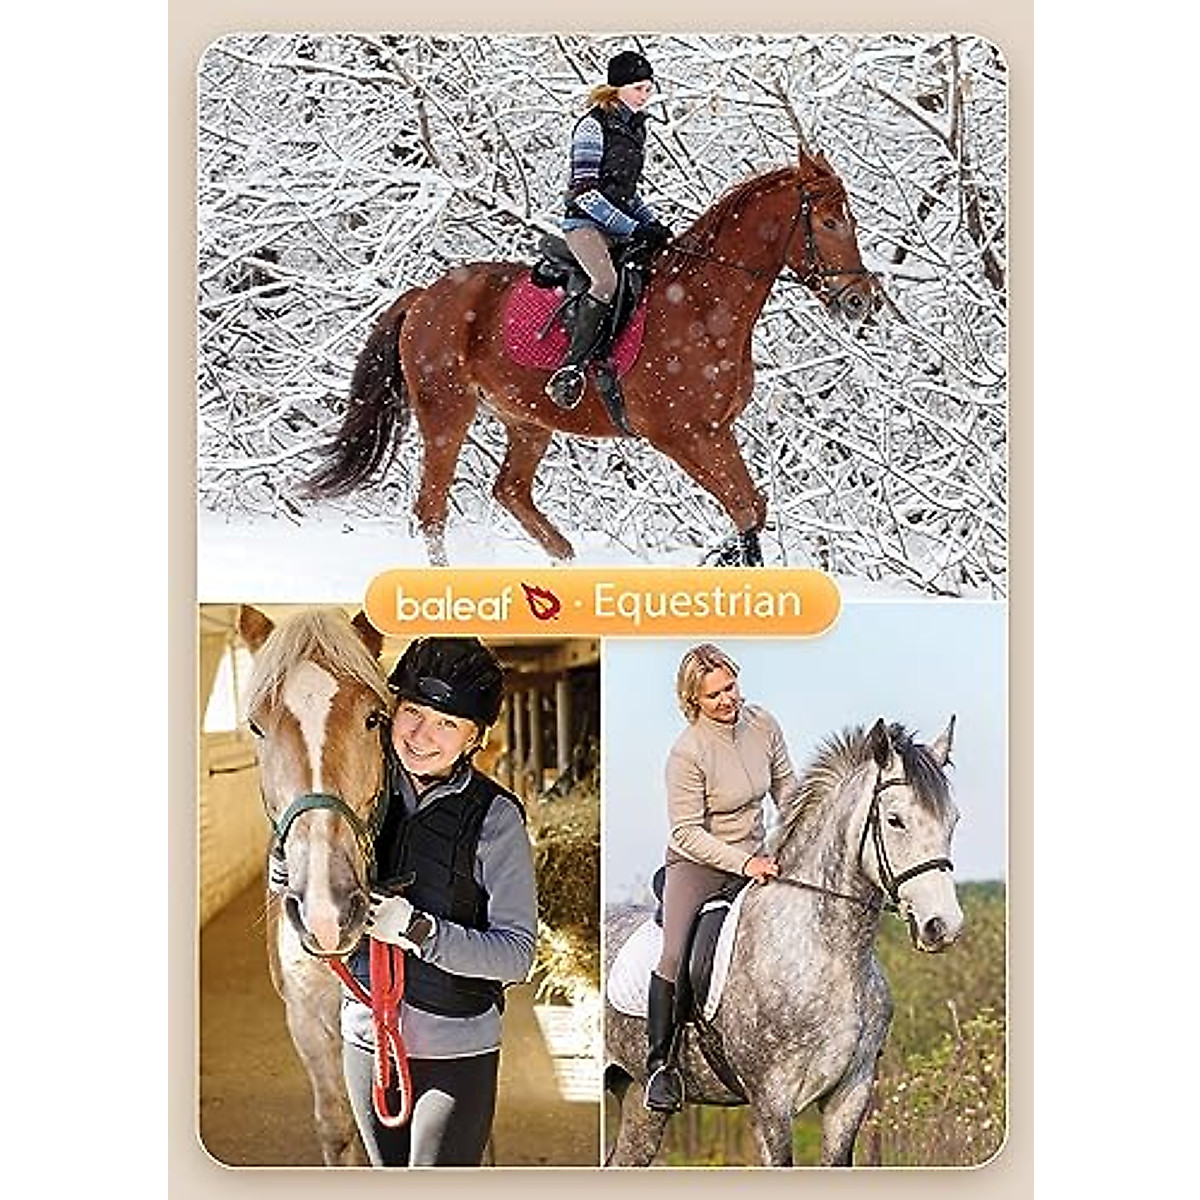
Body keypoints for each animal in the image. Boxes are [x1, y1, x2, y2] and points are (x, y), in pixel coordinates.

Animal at [305, 150, 876, 567]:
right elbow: (744, 506)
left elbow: (751, 507)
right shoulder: (684, 436)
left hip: (527, 421)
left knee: (510, 491)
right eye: (830, 221)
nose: (859, 300)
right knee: (432, 508)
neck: (702, 304)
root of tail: (425, 295)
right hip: (448, 412)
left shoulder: (717, 430)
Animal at [602, 717, 962, 1167]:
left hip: (639, 1104)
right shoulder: (771, 1103)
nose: (943, 926)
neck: (831, 954)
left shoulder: (851, 1095)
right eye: (895, 820)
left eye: (953, 820)